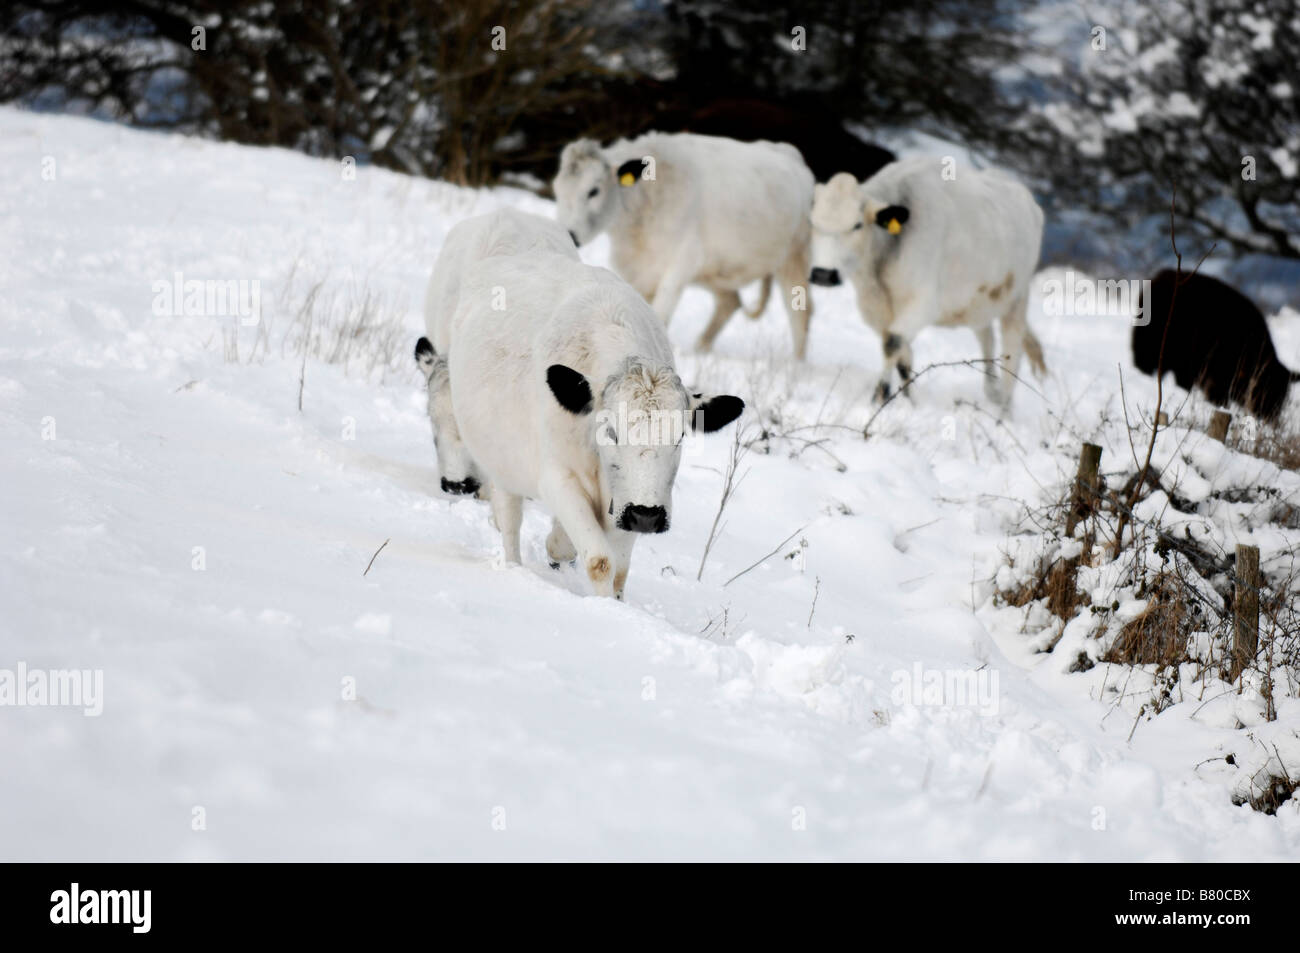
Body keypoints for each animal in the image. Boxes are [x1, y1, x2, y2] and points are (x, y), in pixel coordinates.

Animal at [447, 250, 744, 598]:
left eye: (680, 435)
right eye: (611, 431)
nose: (648, 515)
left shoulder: (627, 506)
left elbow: (618, 569)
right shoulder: (558, 478)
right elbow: (600, 561)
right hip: (503, 464)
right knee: (509, 522)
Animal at [552, 132, 816, 359]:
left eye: (593, 191)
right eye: (557, 191)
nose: (570, 233)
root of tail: (788, 152)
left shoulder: (681, 262)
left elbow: (660, 315)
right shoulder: (635, 269)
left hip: (795, 254)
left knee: (800, 313)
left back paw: (795, 366)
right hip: (717, 269)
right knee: (730, 302)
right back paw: (701, 349)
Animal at [809, 157, 1046, 405]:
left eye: (857, 225)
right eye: (813, 223)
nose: (823, 274)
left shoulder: (923, 303)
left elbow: (892, 343)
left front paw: (880, 396)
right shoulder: (874, 306)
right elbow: (902, 353)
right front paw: (908, 400)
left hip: (1016, 301)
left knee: (1013, 355)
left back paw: (1003, 408)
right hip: (980, 304)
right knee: (987, 338)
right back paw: (992, 390)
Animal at [1134, 270, 1298, 420]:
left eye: (1283, 394)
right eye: (1268, 388)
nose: (1272, 419)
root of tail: (1160, 276)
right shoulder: (1216, 376)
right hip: (1150, 343)